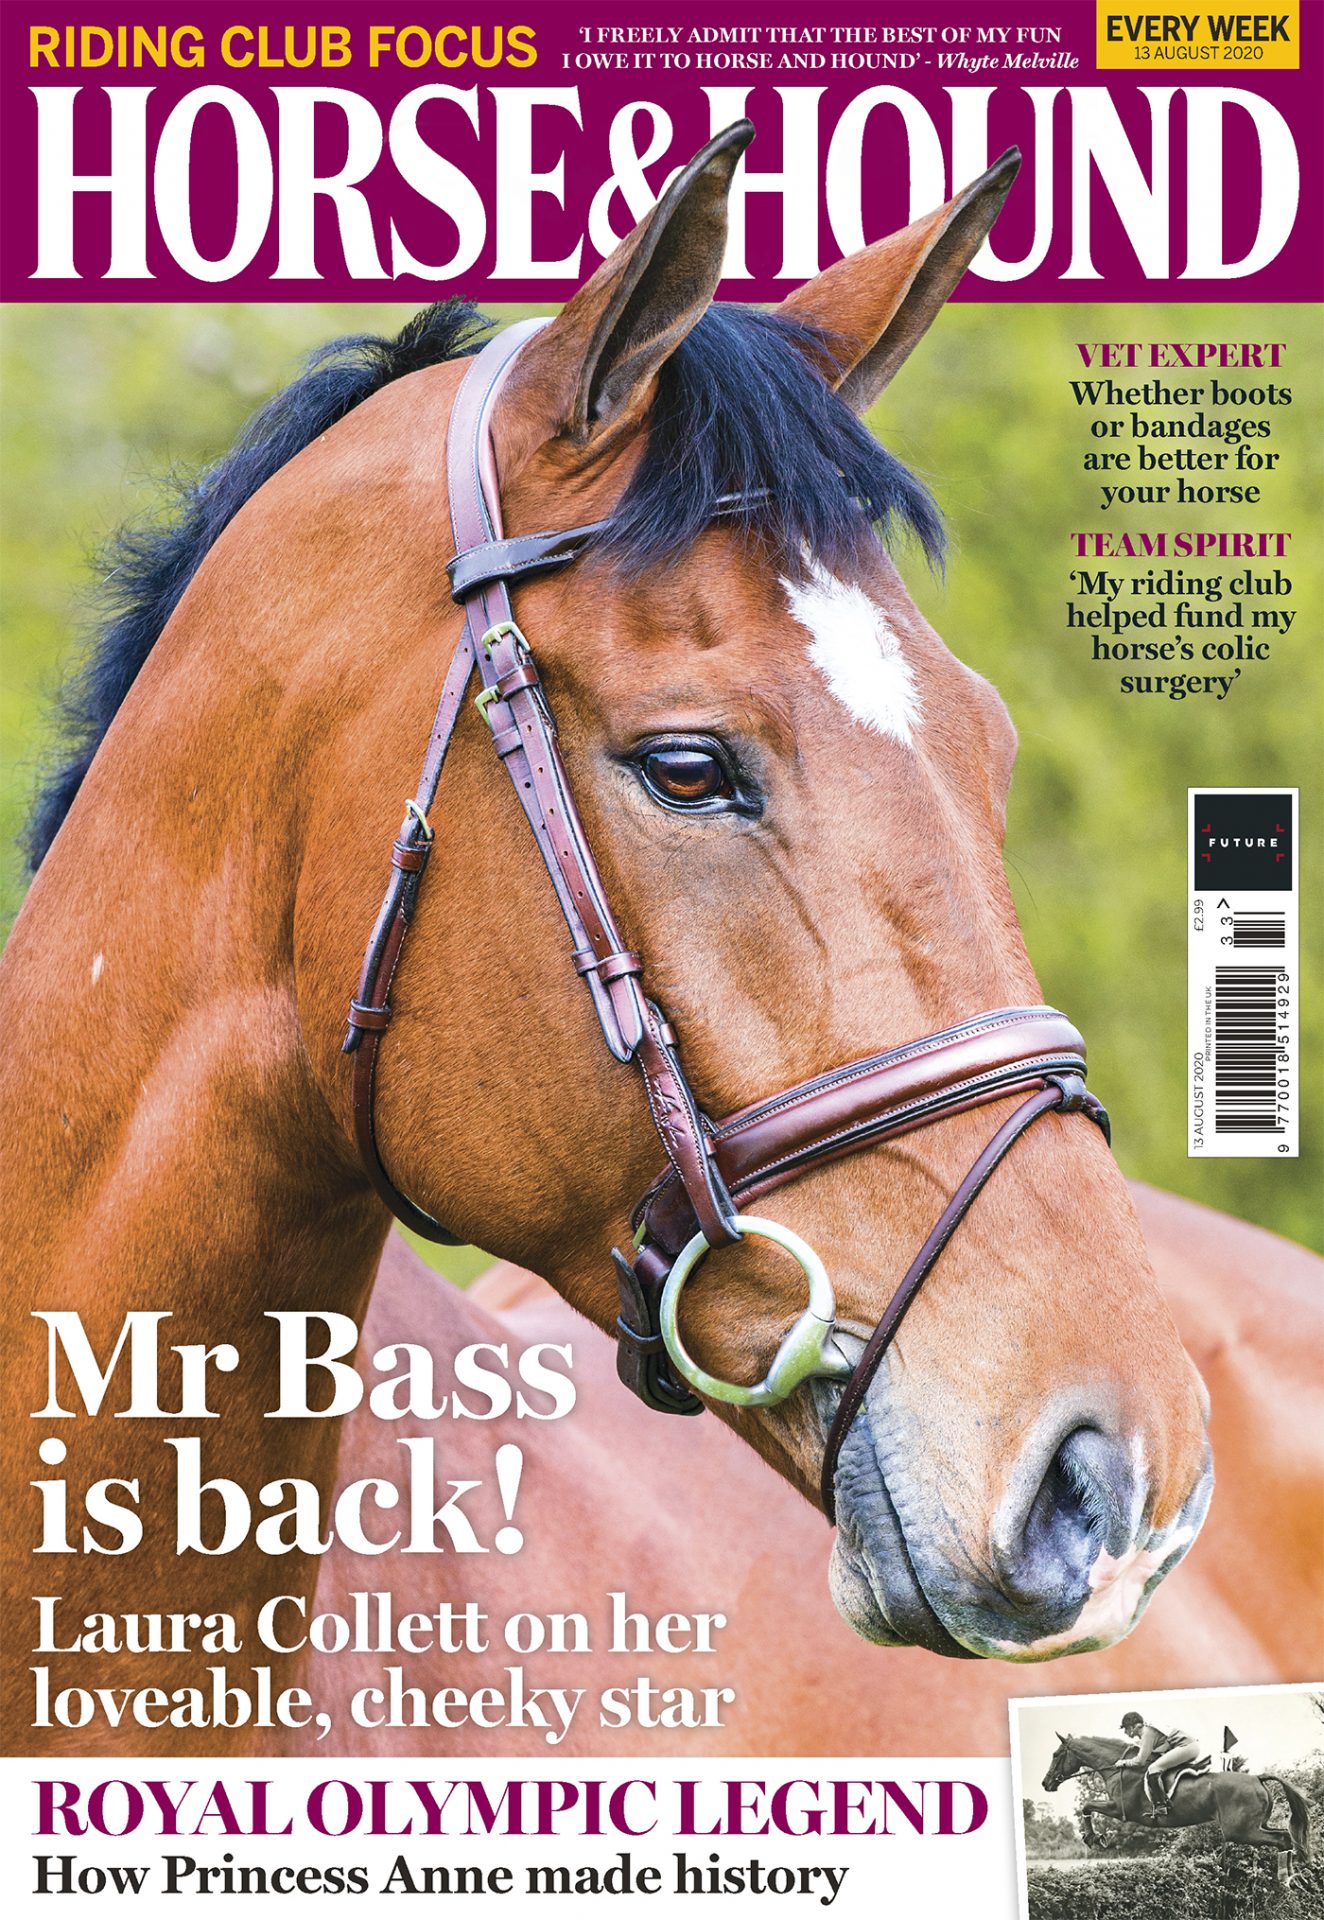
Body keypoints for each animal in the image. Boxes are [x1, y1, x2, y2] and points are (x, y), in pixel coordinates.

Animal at [1042, 1731, 1312, 1872]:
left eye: (1056, 1755)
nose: (1046, 1784)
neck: (1116, 1766)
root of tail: (1257, 1777)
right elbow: (1087, 1805)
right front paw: (1093, 1837)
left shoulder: (1120, 1809)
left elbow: (1086, 1805)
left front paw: (1092, 1837)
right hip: (1254, 1826)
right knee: (1285, 1836)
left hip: (1240, 1830)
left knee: (1282, 1838)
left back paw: (1287, 1875)